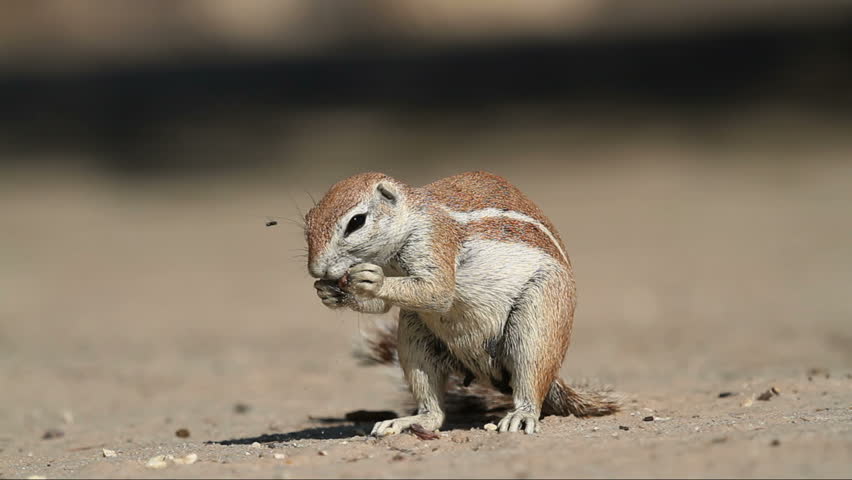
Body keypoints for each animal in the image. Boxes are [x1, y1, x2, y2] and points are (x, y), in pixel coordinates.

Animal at [304, 171, 618, 435]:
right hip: (412, 336)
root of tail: (483, 373)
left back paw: (522, 415)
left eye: (356, 222)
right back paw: (408, 421)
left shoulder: (435, 240)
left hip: (540, 318)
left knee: (530, 378)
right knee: (433, 410)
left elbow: (439, 292)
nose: (316, 270)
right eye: (308, 221)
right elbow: (381, 307)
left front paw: (374, 280)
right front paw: (330, 293)